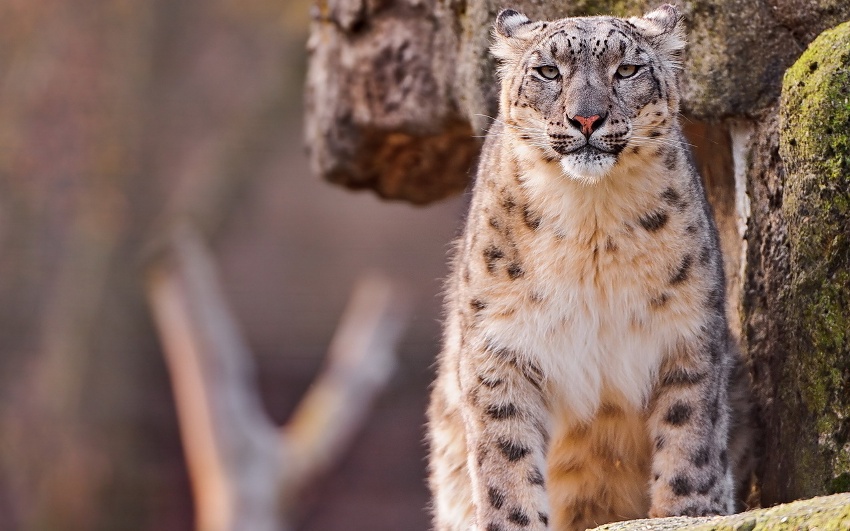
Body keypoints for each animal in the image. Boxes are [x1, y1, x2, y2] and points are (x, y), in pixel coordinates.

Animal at [426, 5, 753, 531]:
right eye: (548, 71)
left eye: (627, 69)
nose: (586, 118)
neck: (591, 223)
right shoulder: (499, 346)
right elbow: (506, 457)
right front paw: (513, 519)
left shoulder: (687, 334)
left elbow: (690, 436)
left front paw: (688, 513)